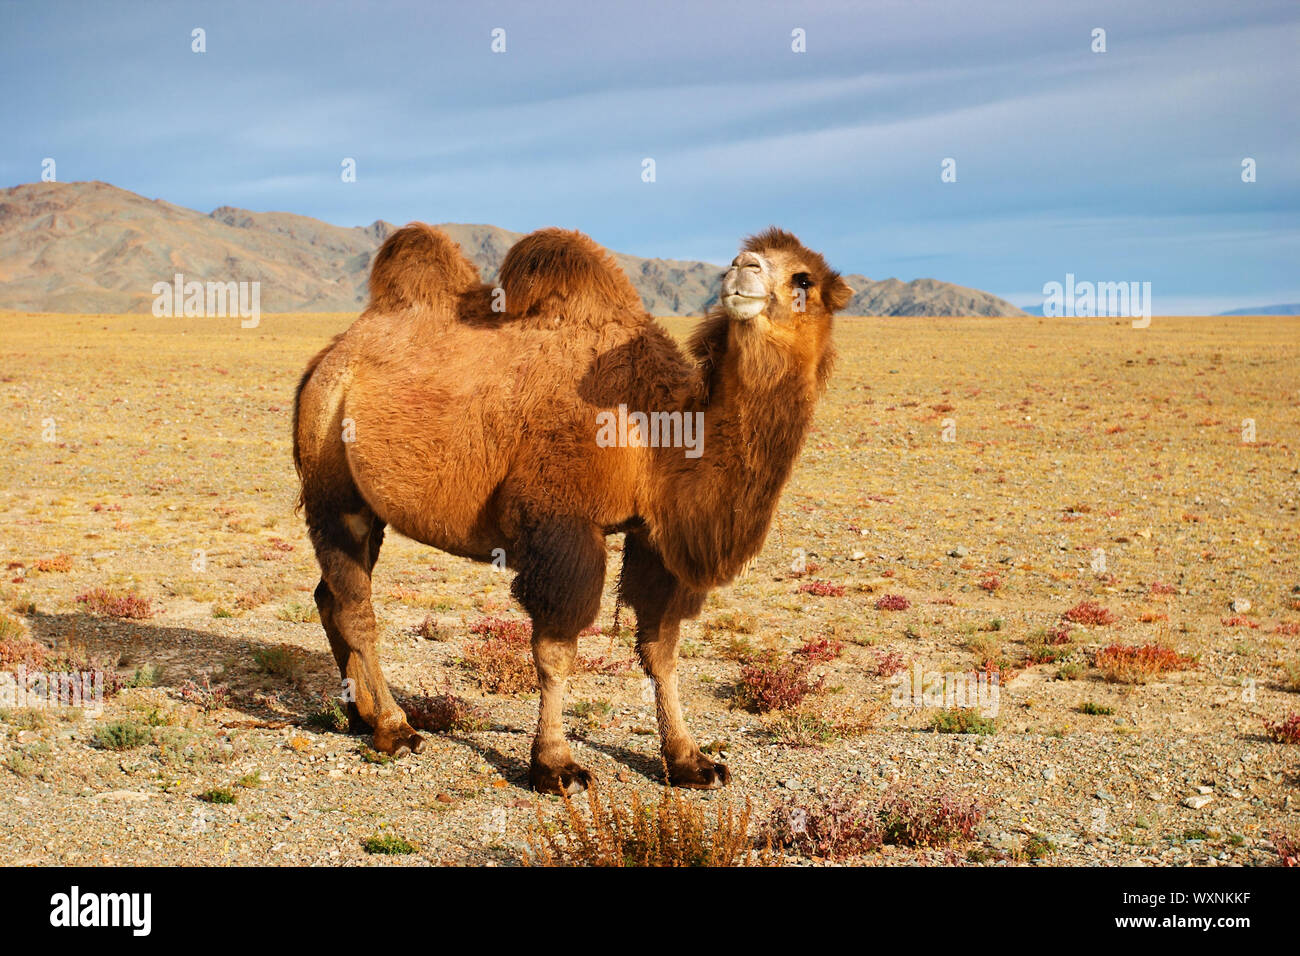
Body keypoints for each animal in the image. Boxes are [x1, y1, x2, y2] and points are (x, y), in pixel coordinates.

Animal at [292, 223, 851, 794]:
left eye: (803, 278)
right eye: (745, 259)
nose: (744, 267)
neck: (658, 431)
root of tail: (330, 357)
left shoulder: (653, 535)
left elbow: (661, 648)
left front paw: (691, 761)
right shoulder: (561, 522)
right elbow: (556, 650)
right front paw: (556, 765)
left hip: (367, 503)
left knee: (329, 595)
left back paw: (358, 713)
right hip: (333, 482)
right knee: (356, 606)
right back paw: (394, 728)